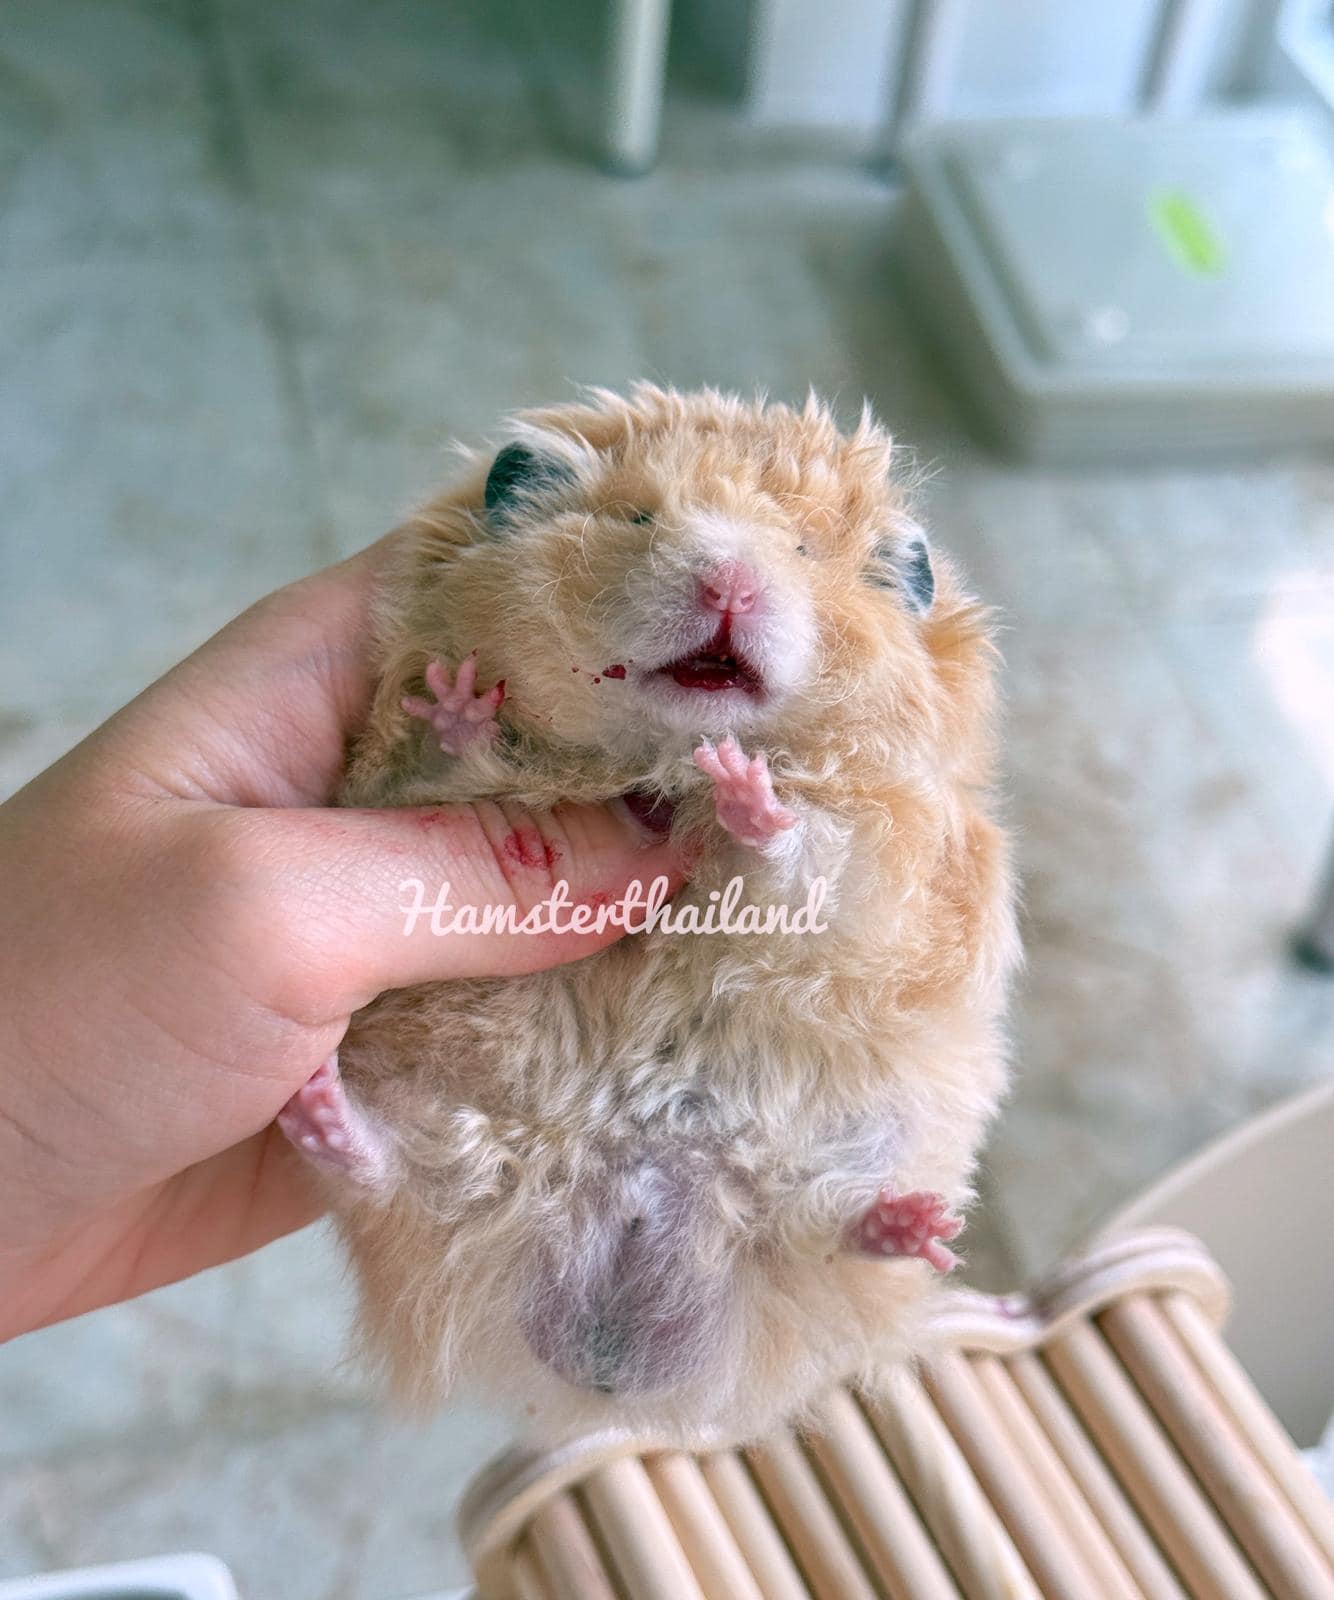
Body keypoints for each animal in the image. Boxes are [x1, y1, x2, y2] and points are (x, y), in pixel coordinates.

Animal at [278, 384, 1018, 1446]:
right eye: (637, 520)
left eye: (802, 551)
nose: (729, 584)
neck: (661, 758)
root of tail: (613, 1351)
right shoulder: (381, 782)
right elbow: (440, 764)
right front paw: (464, 704)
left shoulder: (895, 864)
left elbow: (810, 855)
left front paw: (748, 787)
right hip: (451, 1143)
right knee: (390, 1176)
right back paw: (319, 1111)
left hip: (861, 1153)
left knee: (828, 1237)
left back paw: (915, 1227)